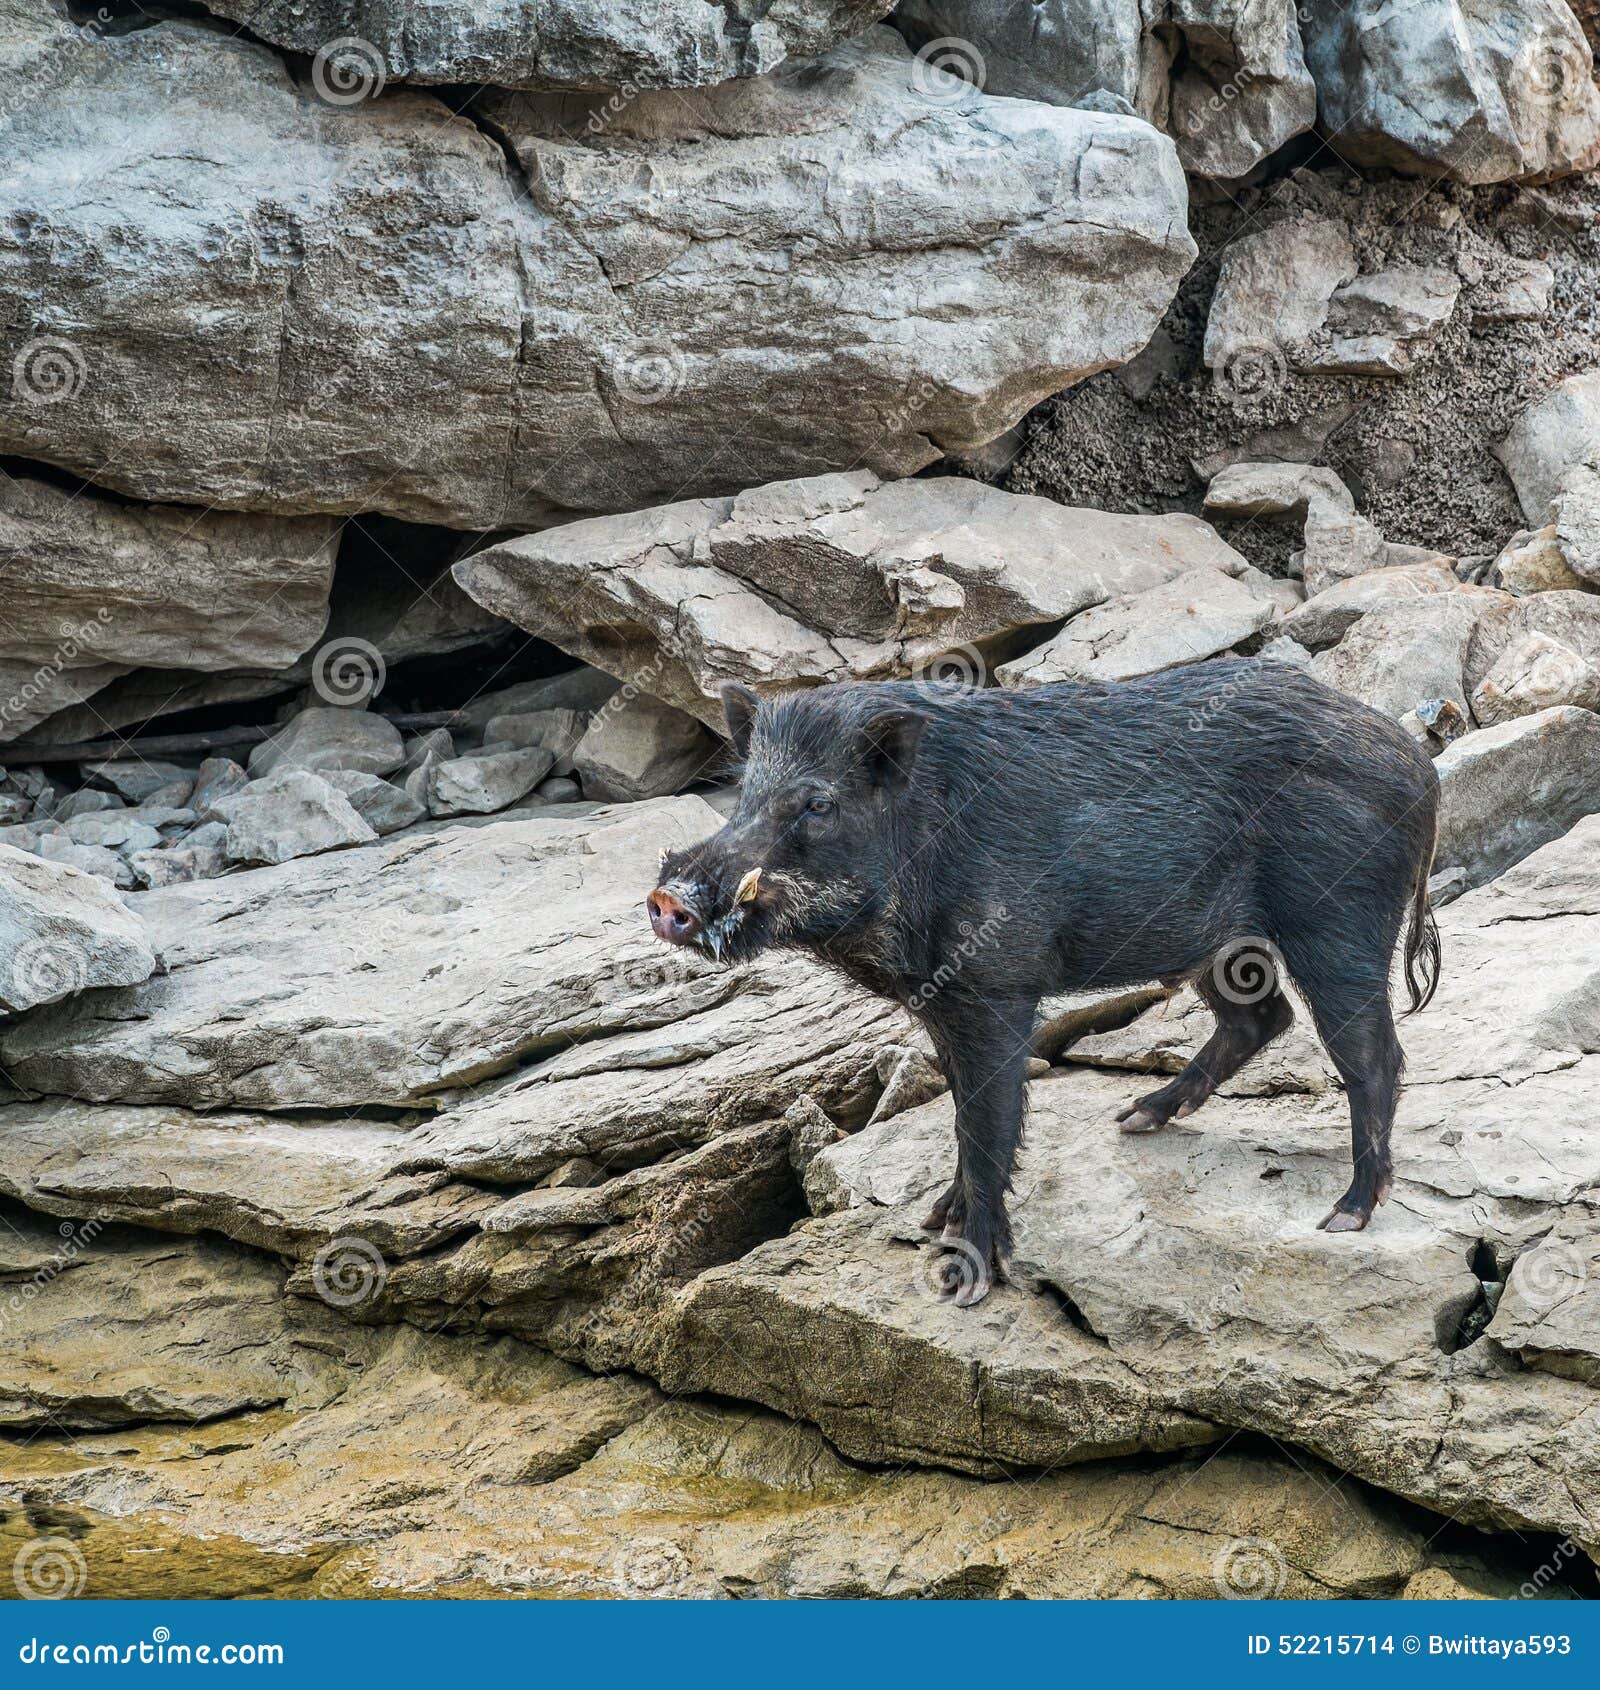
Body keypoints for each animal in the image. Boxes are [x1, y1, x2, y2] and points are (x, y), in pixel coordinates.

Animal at [647, 664, 1441, 1305]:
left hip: (1338, 921)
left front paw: (962, 1279)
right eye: (744, 792)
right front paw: (935, 1218)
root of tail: (1418, 762)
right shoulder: (942, 1002)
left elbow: (989, 1121)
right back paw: (1136, 1118)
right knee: (1263, 1017)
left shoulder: (997, 986)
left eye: (817, 803)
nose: (668, 899)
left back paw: (1345, 1215)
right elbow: (962, 1114)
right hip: (1215, 939)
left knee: (1376, 1057)